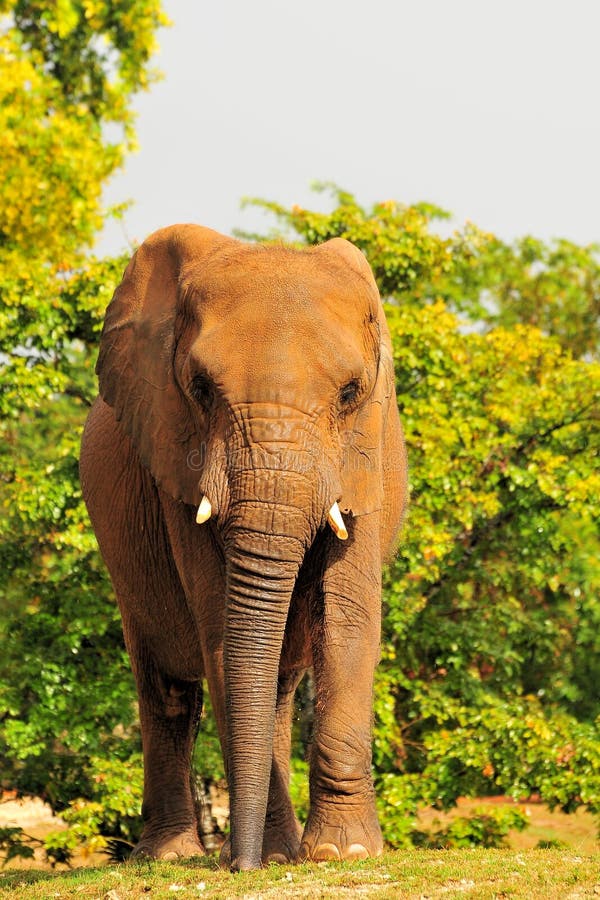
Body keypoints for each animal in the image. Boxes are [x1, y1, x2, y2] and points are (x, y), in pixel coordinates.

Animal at [79, 224, 408, 871]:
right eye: (201, 389)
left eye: (351, 392)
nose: (243, 865)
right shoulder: (175, 455)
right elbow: (221, 631)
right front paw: (280, 856)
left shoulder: (366, 455)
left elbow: (348, 621)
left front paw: (343, 853)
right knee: (168, 690)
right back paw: (169, 857)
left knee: (274, 683)